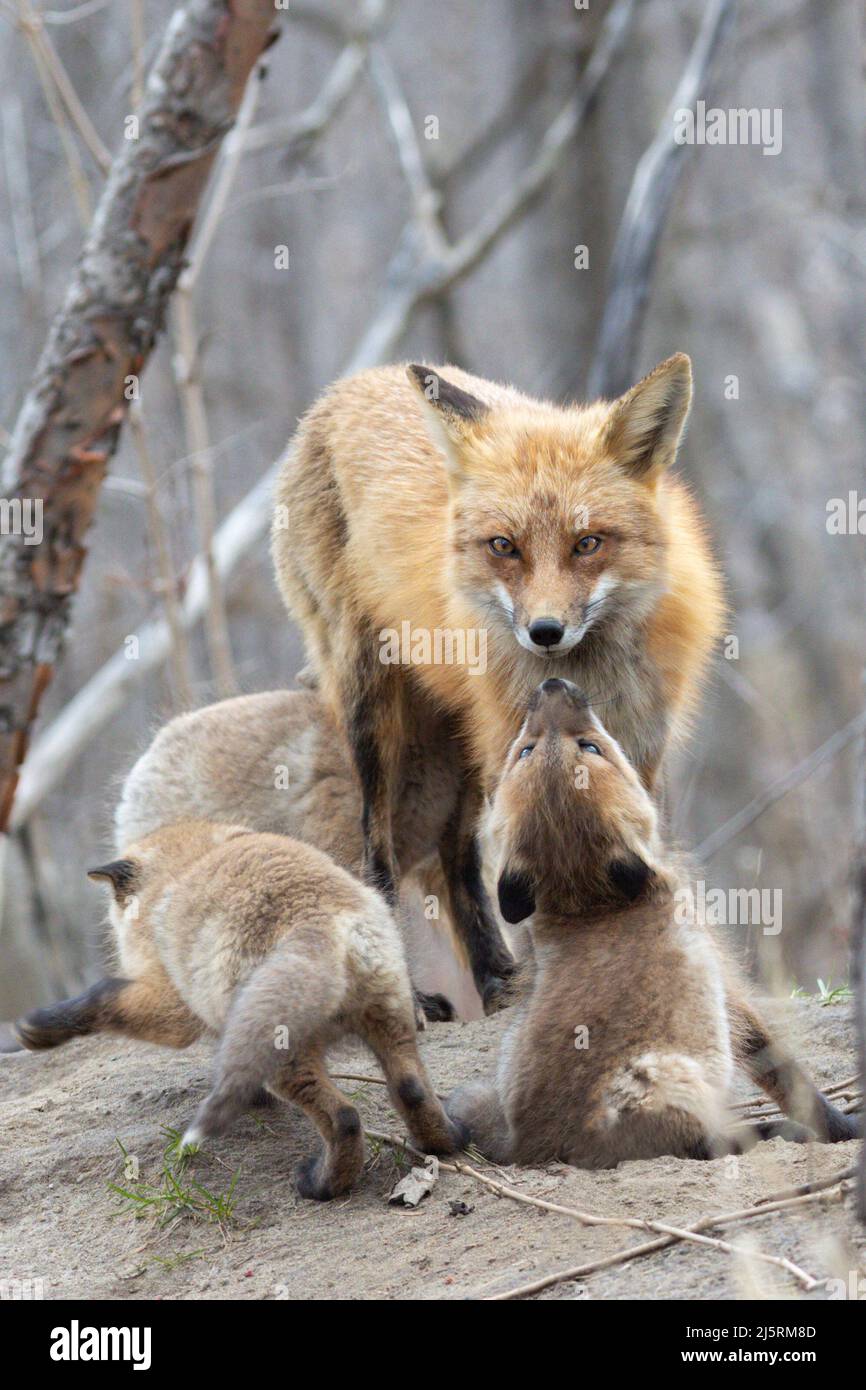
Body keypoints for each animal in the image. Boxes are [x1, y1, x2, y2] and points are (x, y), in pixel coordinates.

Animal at [1, 820, 465, 1199]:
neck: (183, 865)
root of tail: (318, 921)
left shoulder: (173, 1008)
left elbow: (101, 996)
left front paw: (40, 1027)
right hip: (391, 1015)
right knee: (411, 1089)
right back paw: (447, 1140)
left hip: (285, 1051)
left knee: (345, 1118)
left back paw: (322, 1186)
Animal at [272, 355, 725, 1009]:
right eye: (504, 547)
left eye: (588, 543)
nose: (545, 631)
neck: (589, 672)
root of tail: (351, 384)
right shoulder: (520, 741)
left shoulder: (638, 742)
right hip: (377, 713)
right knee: (379, 848)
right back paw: (413, 992)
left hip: (461, 743)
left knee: (457, 860)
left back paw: (494, 977)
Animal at [446, 678, 858, 1166]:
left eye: (526, 751)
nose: (551, 684)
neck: (589, 901)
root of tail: (529, 1148)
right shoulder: (726, 987)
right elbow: (785, 1072)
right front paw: (842, 1127)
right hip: (672, 1075)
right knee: (704, 1145)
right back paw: (771, 1131)